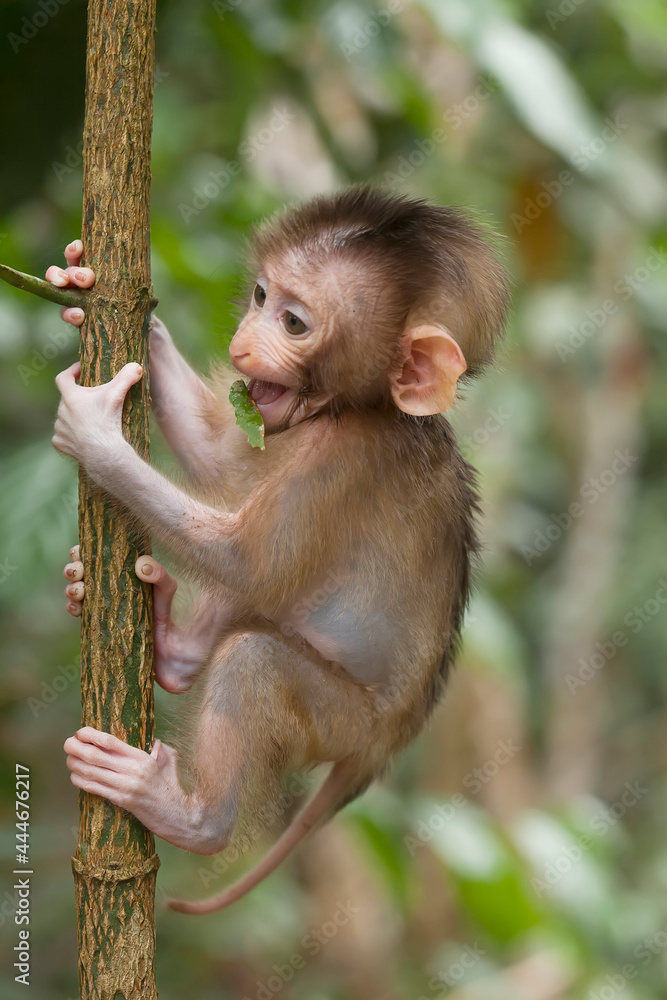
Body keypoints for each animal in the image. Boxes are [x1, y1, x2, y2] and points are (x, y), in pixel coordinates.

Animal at [50, 187, 509, 914]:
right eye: (261, 295)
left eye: (293, 323)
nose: (241, 348)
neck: (361, 408)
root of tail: (385, 745)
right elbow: (220, 455)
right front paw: (78, 278)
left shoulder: (344, 458)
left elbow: (247, 560)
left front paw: (96, 438)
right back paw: (171, 649)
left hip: (343, 722)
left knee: (258, 652)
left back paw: (192, 817)